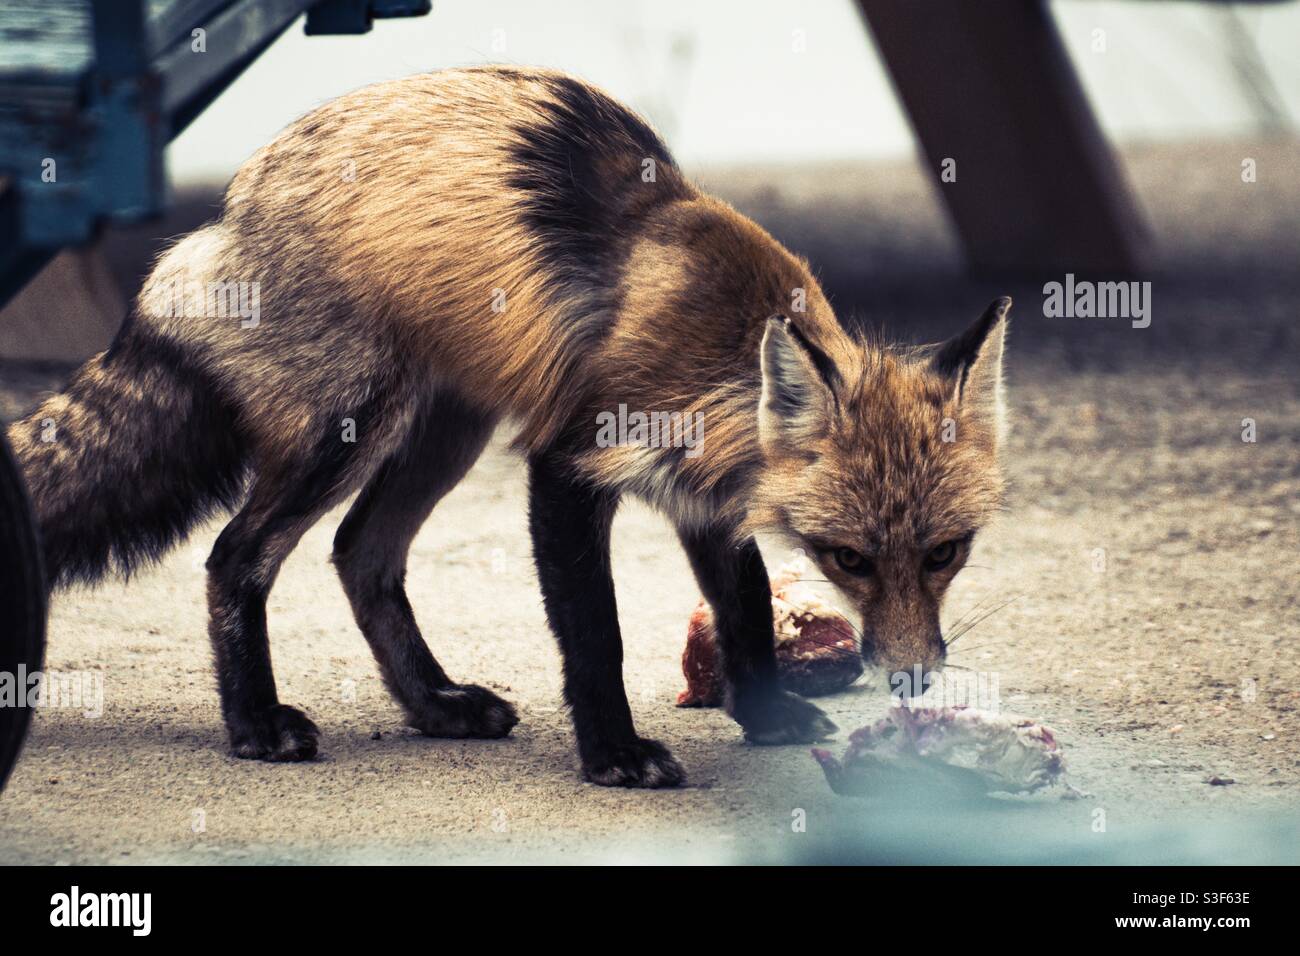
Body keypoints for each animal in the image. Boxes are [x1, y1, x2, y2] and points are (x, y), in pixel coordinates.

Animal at [7, 66, 1009, 788]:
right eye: (848, 559)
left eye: (944, 553)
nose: (914, 678)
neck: (715, 338)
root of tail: (224, 215)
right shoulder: (569, 461)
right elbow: (596, 633)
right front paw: (613, 757)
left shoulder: (705, 491)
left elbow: (748, 605)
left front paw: (763, 720)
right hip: (351, 426)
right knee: (235, 557)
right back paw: (255, 725)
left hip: (444, 433)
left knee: (361, 554)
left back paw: (434, 705)